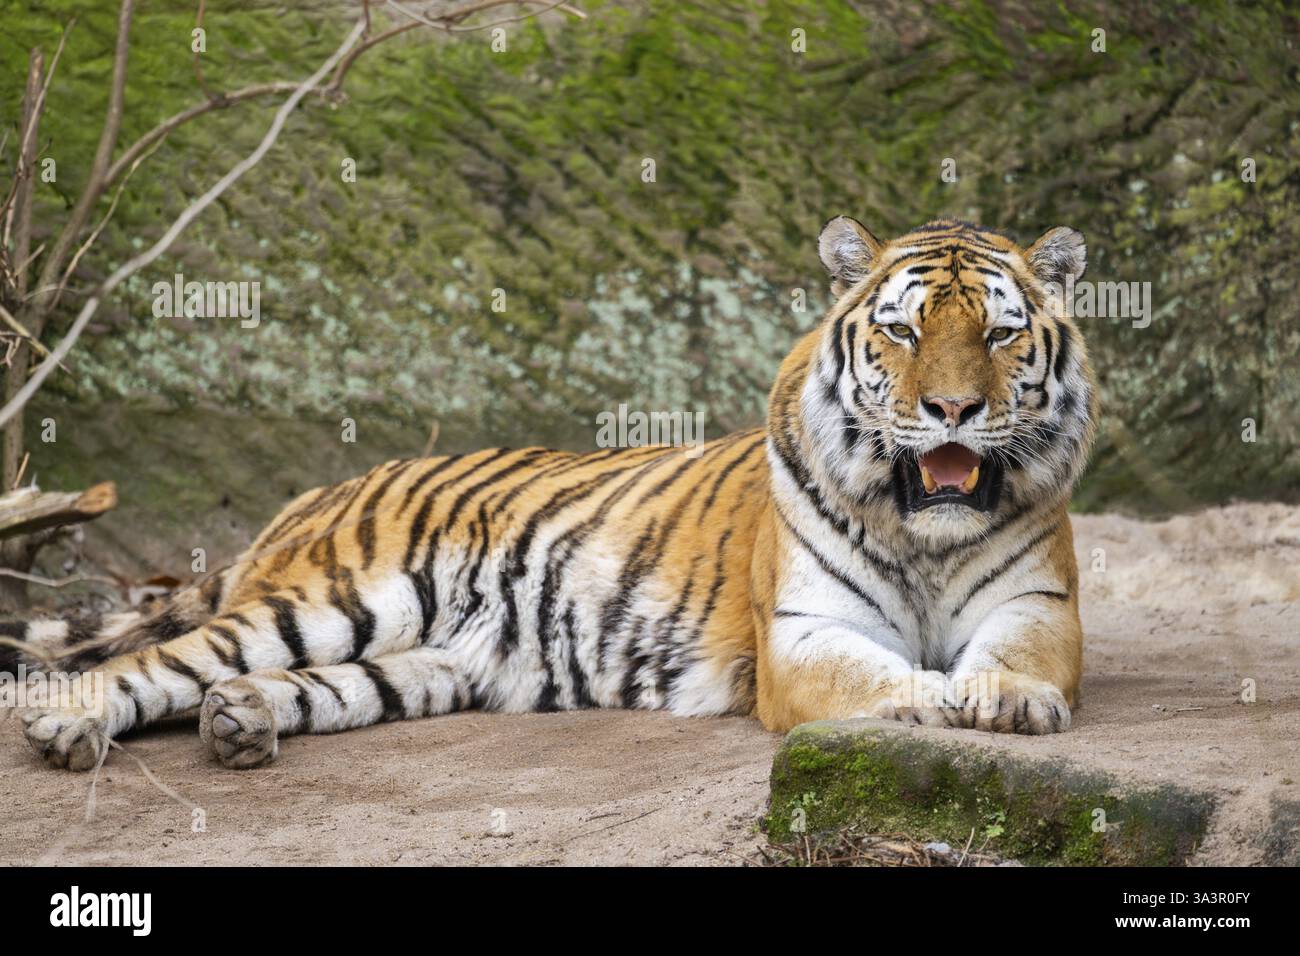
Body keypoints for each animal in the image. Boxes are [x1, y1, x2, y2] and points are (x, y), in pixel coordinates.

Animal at [2, 217, 1095, 771]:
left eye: (999, 334)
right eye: (903, 331)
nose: (951, 408)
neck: (925, 530)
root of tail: (313, 492)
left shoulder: (1037, 605)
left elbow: (1001, 658)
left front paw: (1007, 697)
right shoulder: (803, 637)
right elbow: (890, 681)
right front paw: (959, 701)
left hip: (427, 662)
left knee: (291, 685)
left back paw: (242, 723)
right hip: (336, 600)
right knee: (156, 662)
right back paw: (70, 726)